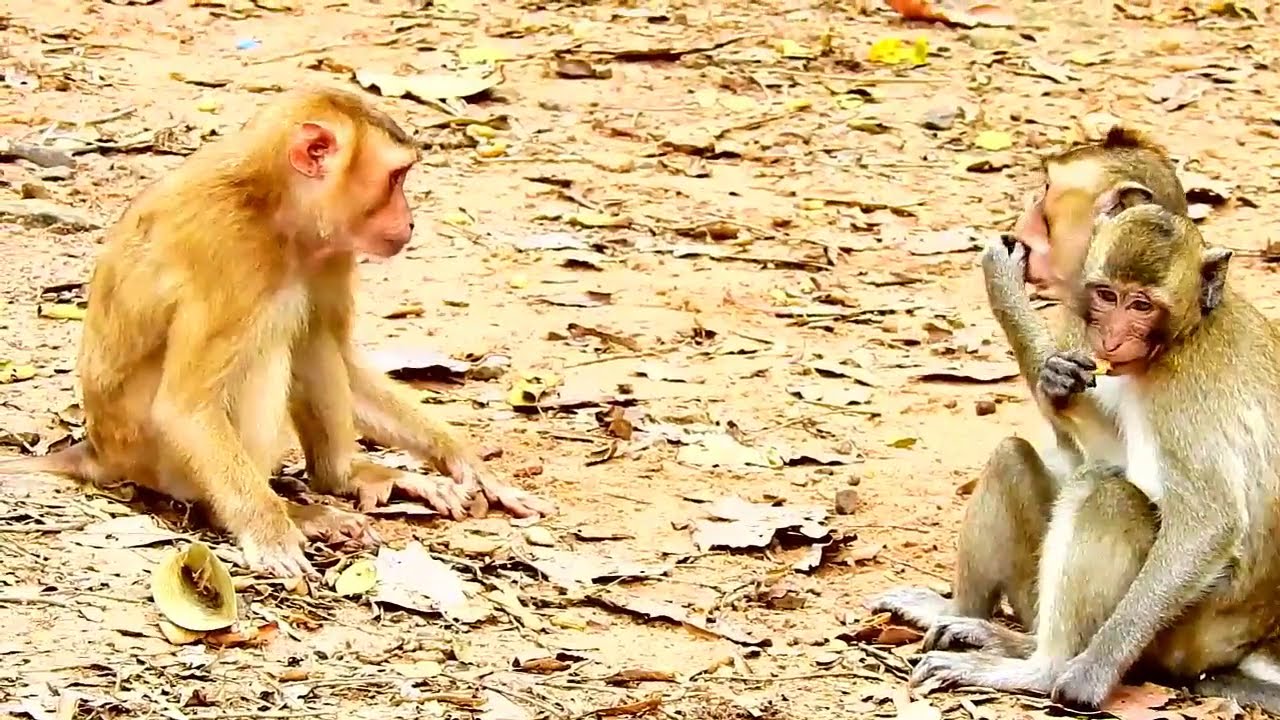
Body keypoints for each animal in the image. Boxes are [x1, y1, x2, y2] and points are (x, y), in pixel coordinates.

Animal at [0, 86, 554, 580]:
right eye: (396, 178)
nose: (410, 221)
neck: (271, 207)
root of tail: (100, 450)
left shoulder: (330, 249)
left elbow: (340, 353)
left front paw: (465, 461)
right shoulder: (230, 256)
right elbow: (185, 406)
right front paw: (270, 531)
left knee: (312, 335)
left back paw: (344, 476)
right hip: (159, 460)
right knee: (267, 346)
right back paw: (292, 513)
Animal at [887, 207, 1280, 712]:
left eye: (1141, 306)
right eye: (1108, 295)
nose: (1110, 338)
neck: (1190, 329)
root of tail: (1220, 658)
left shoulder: (1181, 390)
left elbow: (1209, 524)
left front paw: (1087, 677)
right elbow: (1109, 449)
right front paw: (1053, 373)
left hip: (1165, 638)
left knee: (1108, 496)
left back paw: (1041, 668)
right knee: (1011, 458)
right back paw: (976, 623)